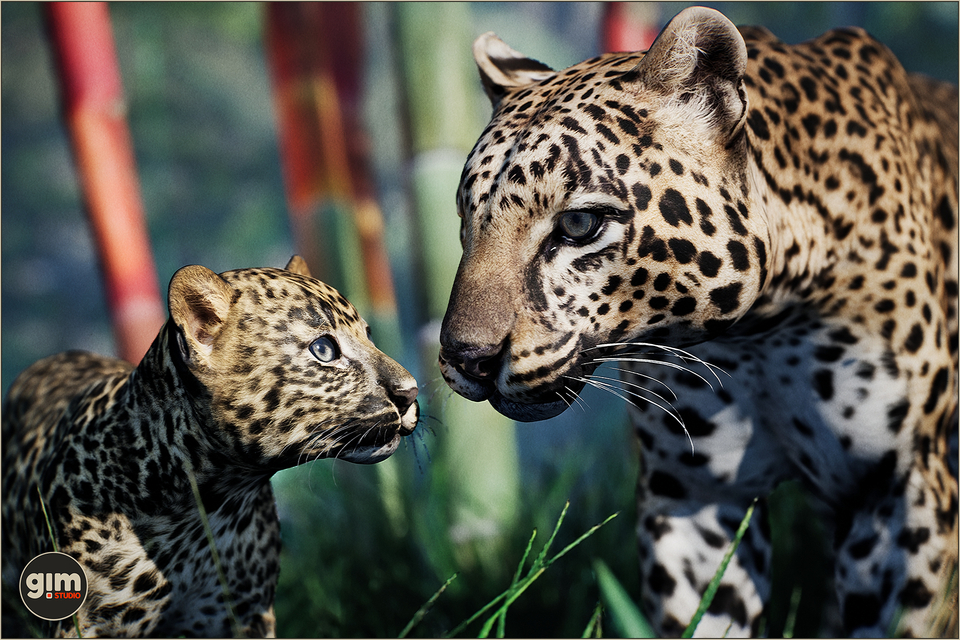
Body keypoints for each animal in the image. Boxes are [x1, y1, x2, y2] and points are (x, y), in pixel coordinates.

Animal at [2, 255, 419, 637]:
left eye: (369, 336)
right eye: (324, 350)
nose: (410, 392)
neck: (203, 509)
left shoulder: (244, 616)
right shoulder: (82, 624)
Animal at [438, 6, 958, 637]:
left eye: (580, 225)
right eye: (465, 220)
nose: (467, 359)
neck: (758, 330)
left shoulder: (900, 494)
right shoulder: (691, 495)